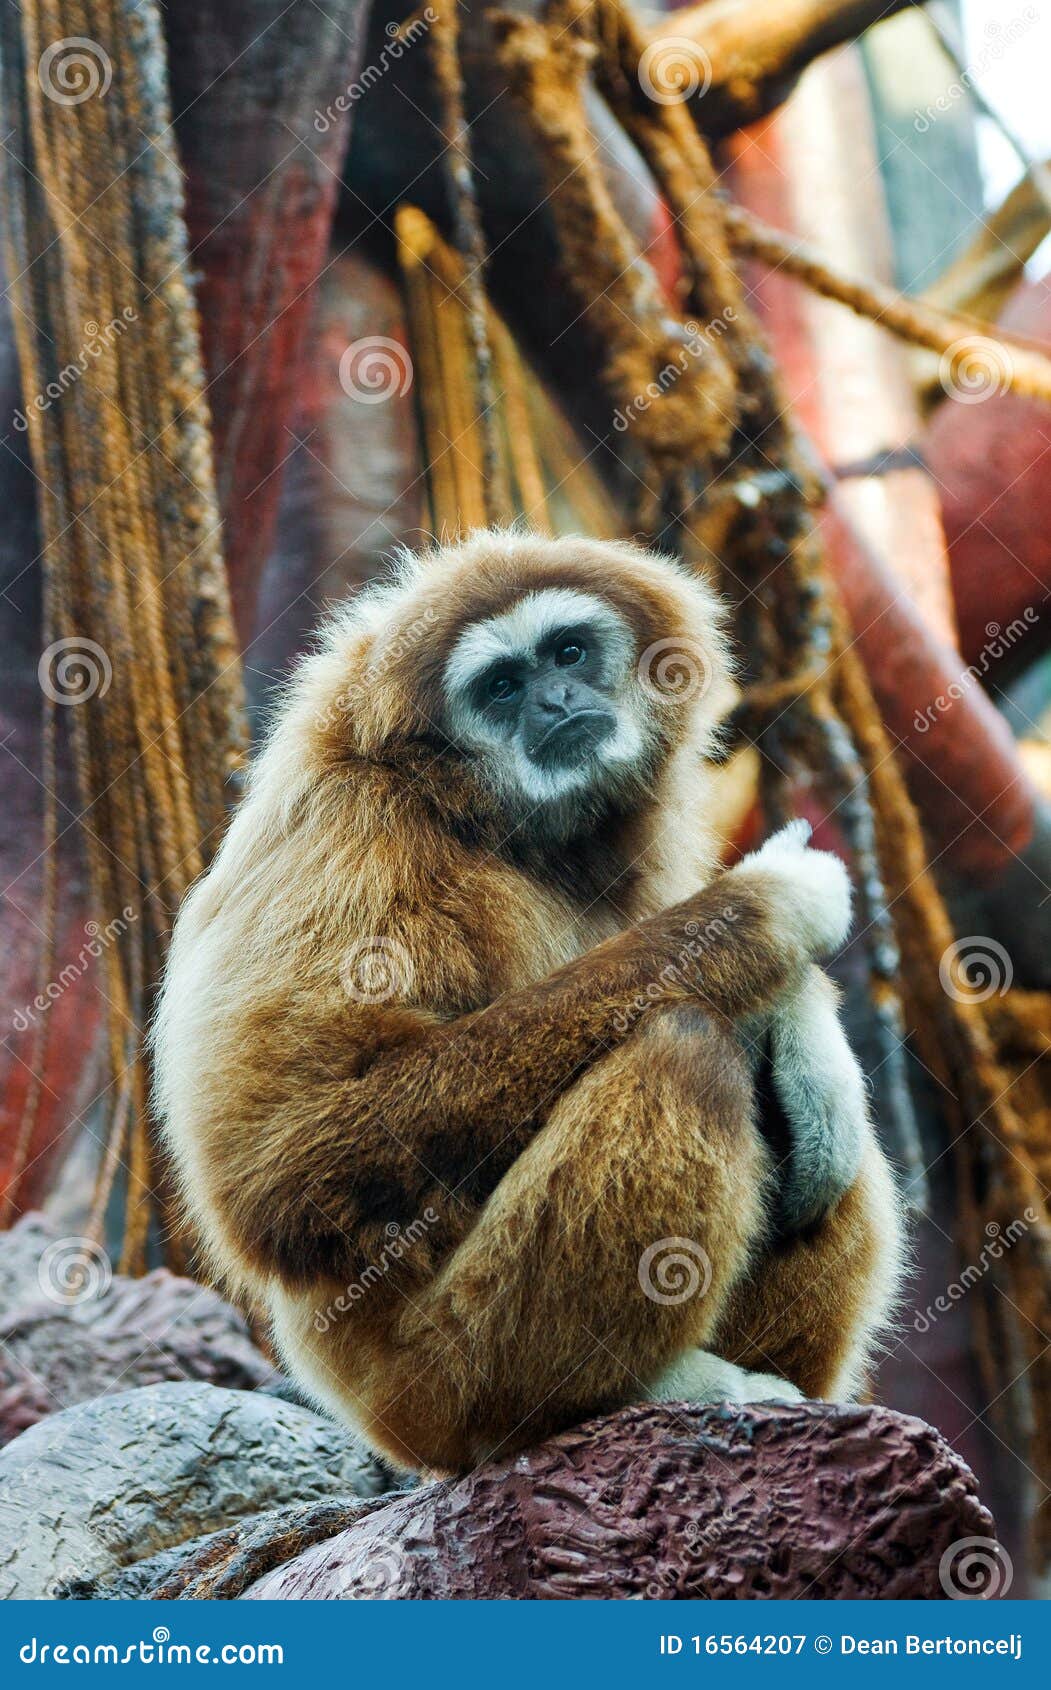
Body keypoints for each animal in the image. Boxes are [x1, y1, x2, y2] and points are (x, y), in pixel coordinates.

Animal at [152, 531, 904, 1475]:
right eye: (501, 688)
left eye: (569, 652)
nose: (553, 699)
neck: (476, 815)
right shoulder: (346, 832)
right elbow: (282, 1166)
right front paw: (768, 909)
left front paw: (802, 1020)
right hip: (439, 1374)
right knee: (685, 1044)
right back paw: (613, 1396)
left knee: (816, 1129)